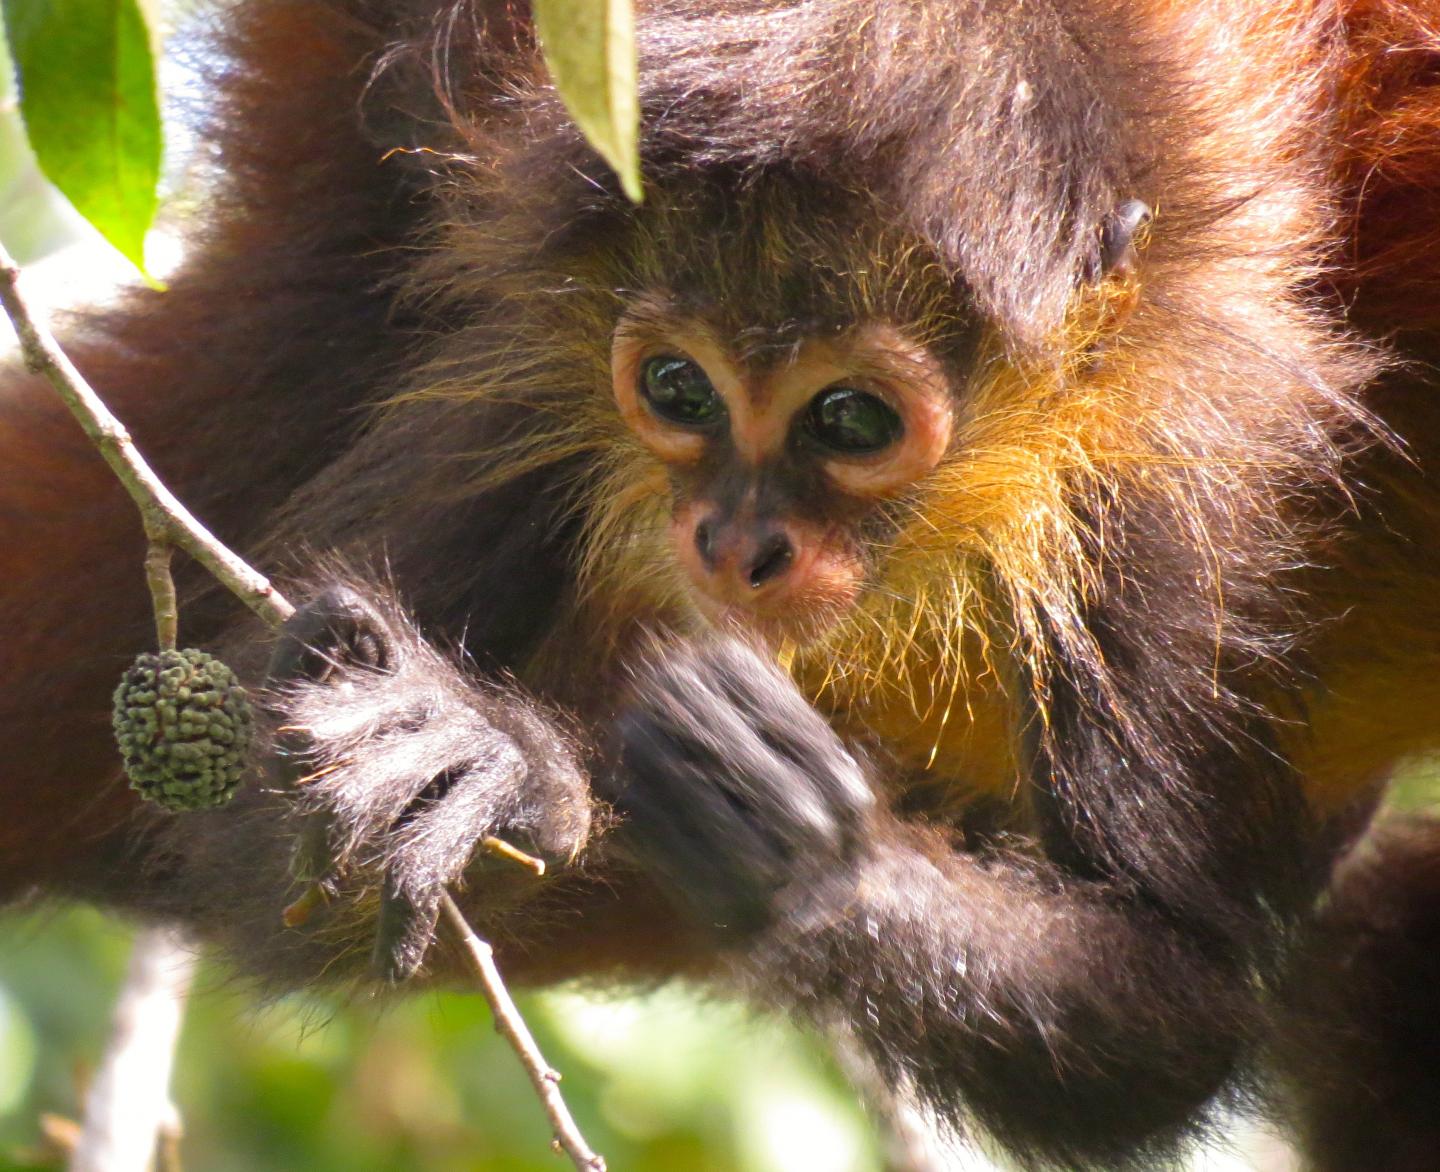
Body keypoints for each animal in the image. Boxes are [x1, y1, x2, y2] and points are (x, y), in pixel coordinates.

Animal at [3, 0, 1440, 1168]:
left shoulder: (1168, 464)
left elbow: (1167, 1013)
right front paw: (525, 777)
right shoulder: (525, 364)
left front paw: (807, 869)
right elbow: (267, 863)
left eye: (851, 421)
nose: (736, 543)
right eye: (678, 390)